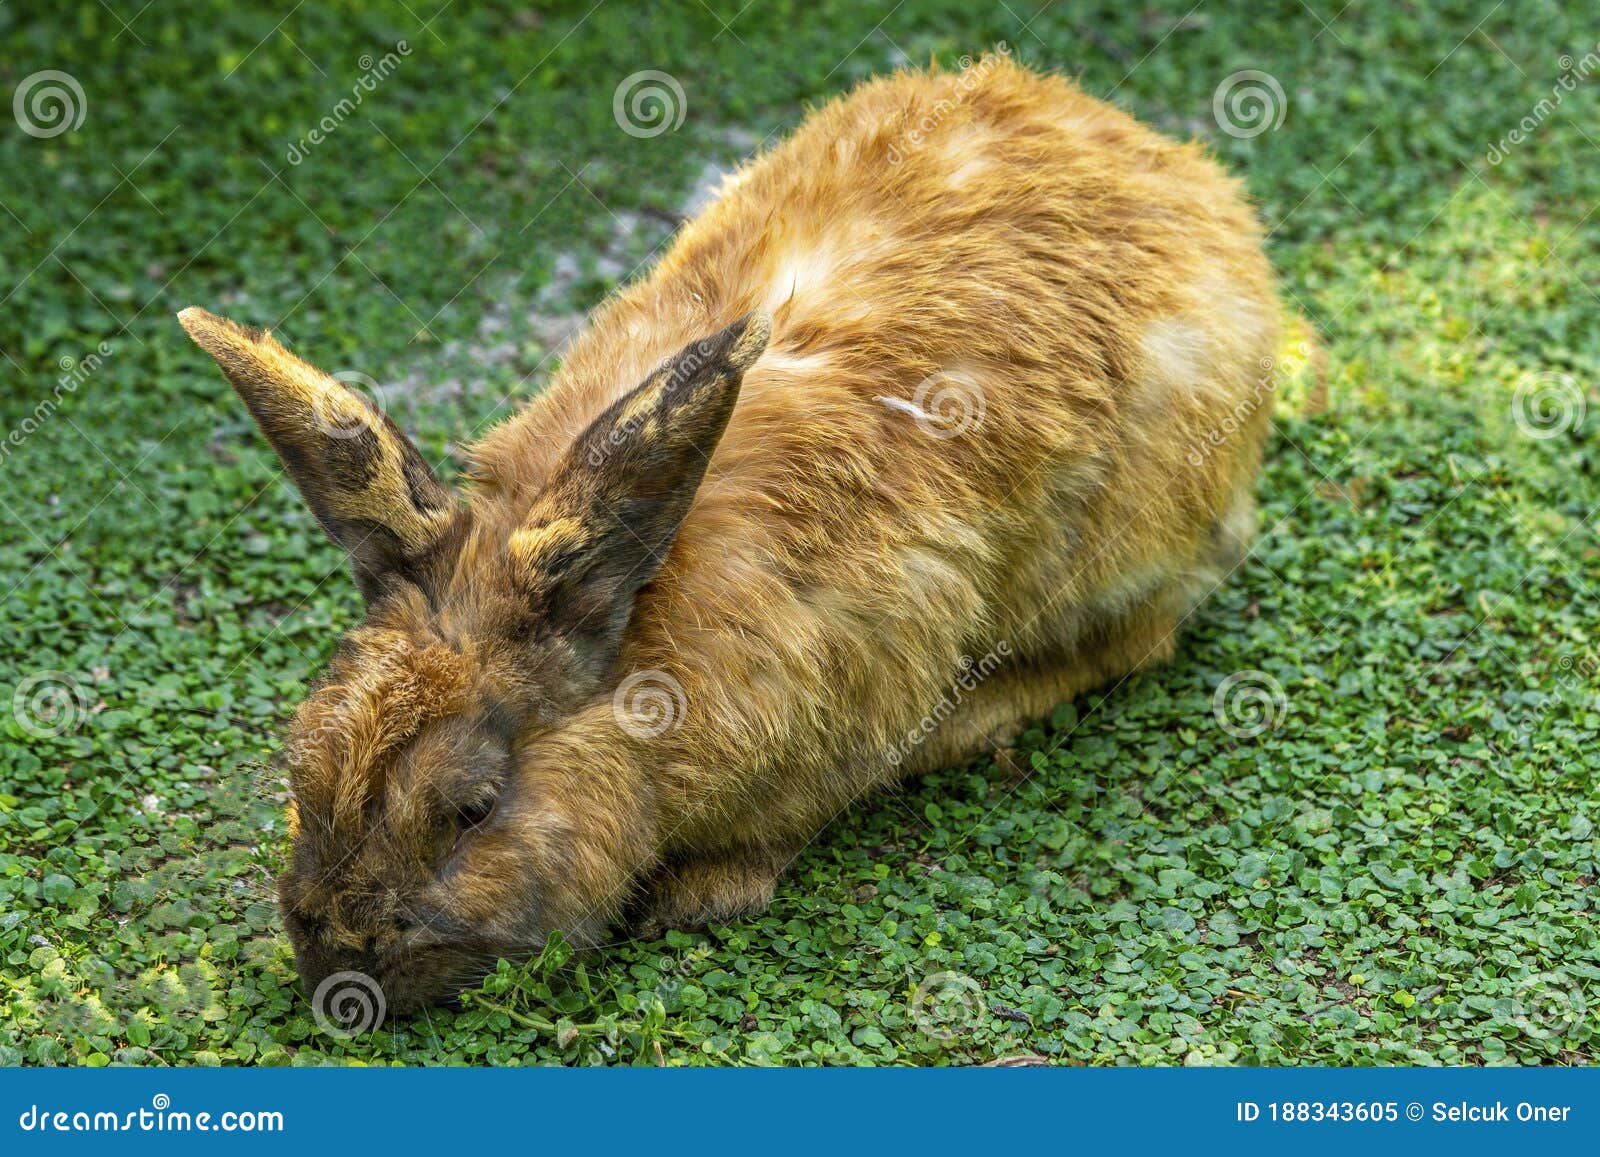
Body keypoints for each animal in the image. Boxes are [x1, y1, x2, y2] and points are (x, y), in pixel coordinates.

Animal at [179, 54, 1281, 1015]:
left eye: (474, 808)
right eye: (302, 762)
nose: (335, 973)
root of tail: (1180, 176)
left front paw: (693, 897)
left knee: (1133, 641)